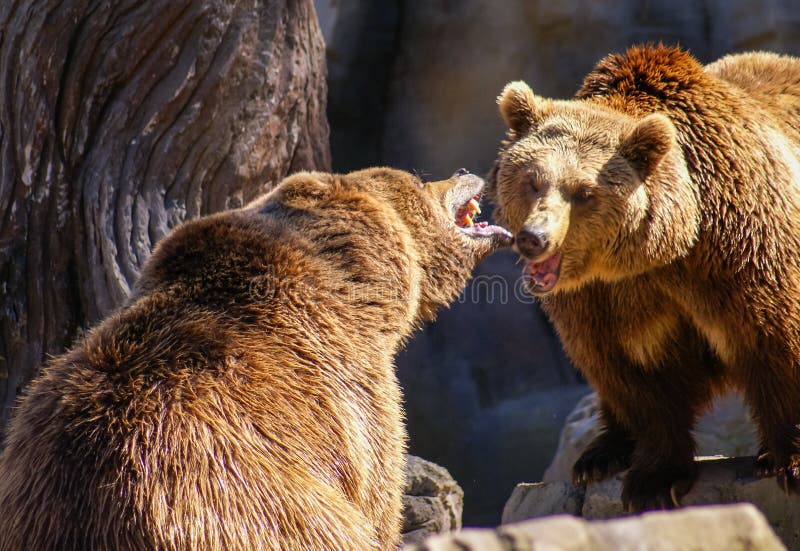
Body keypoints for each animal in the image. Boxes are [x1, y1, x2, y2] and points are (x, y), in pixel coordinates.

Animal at [488, 44, 800, 512]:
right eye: (533, 181)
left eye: (584, 192)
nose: (534, 237)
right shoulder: (601, 299)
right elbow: (635, 376)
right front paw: (654, 480)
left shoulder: (738, 252)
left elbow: (772, 338)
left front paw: (789, 462)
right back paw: (599, 454)